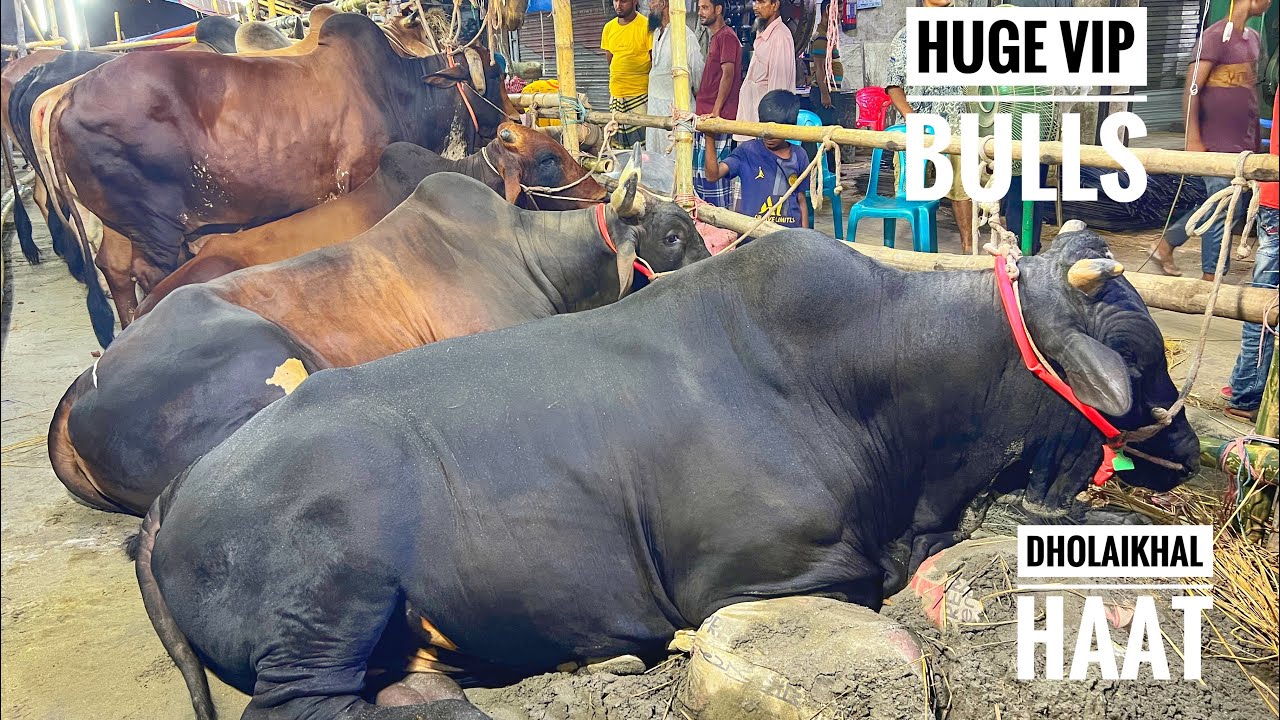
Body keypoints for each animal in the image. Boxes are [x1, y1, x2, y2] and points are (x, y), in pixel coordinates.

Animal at [43, 12, 511, 345]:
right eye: (493, 77)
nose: (510, 120)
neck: (398, 90)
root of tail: (67, 97)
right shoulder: (359, 181)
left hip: (121, 225)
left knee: (115, 270)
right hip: (155, 230)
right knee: (144, 274)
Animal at [129, 226, 1198, 720]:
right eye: (1140, 353)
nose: (1187, 453)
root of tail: (175, 496)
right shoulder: (761, 573)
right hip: (332, 594)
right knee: (301, 702)